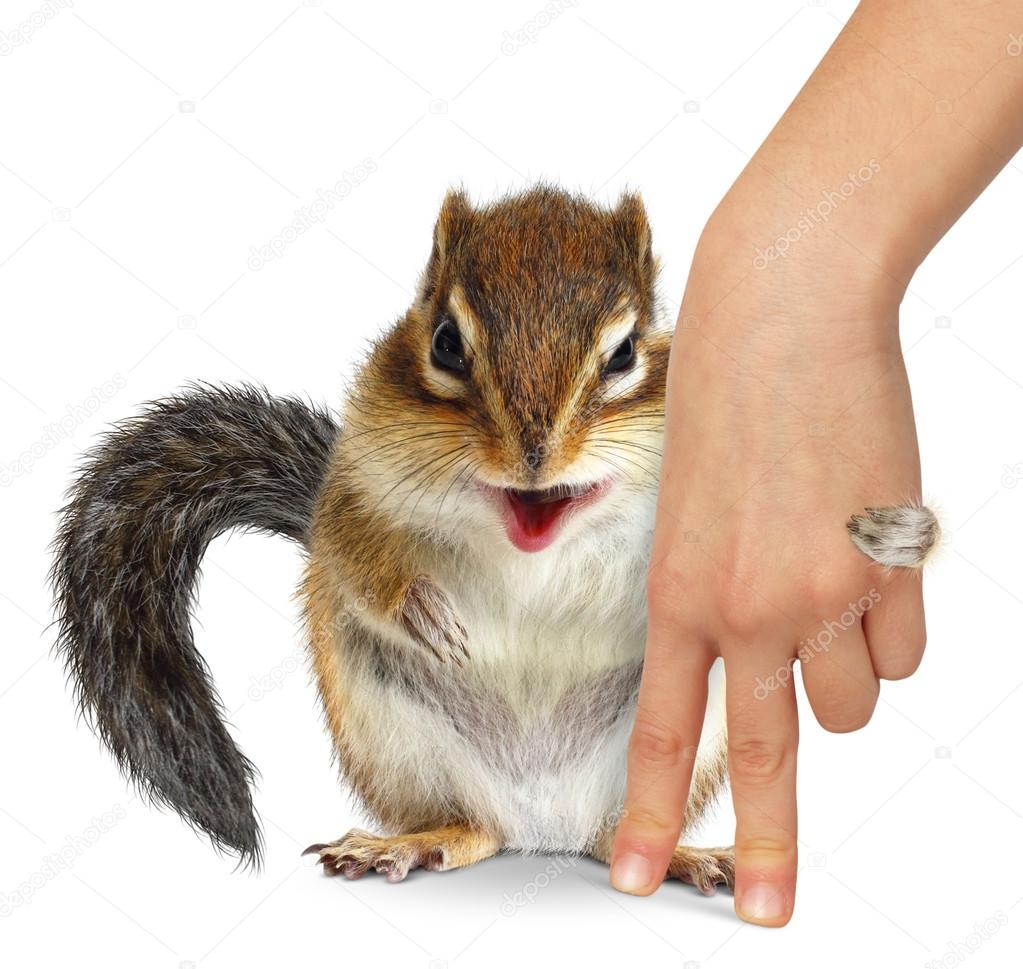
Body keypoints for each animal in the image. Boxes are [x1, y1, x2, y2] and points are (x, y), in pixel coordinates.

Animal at [52, 186, 939, 894]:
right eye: (446, 342)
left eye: (625, 352)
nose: (534, 453)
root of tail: (543, 825)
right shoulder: (355, 480)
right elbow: (349, 546)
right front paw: (422, 609)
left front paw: (891, 535)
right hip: (397, 739)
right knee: (469, 826)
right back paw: (409, 843)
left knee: (606, 838)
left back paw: (683, 856)